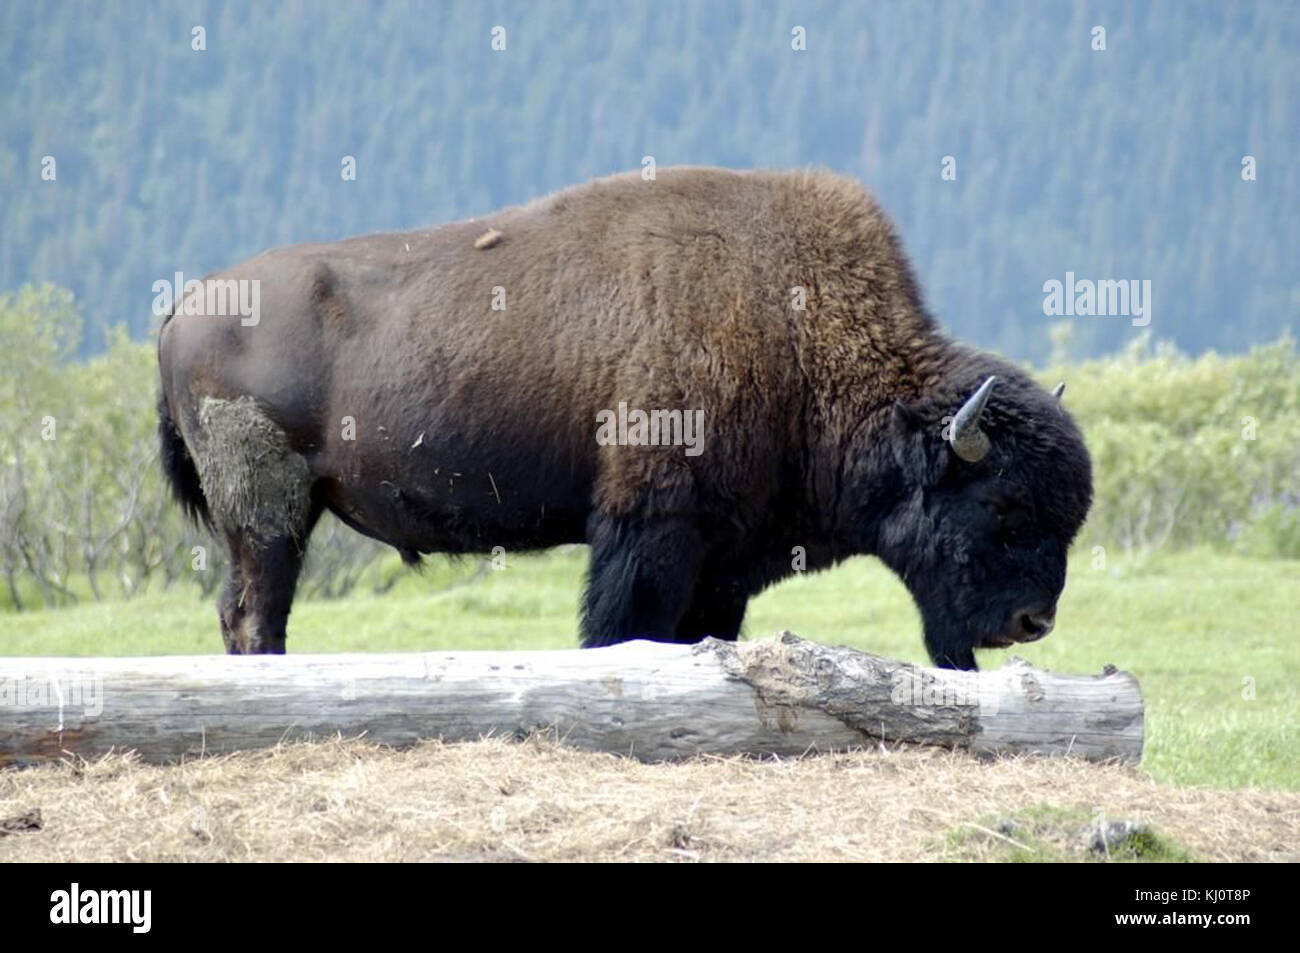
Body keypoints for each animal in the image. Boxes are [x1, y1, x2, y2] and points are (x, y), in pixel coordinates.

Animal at [157, 167, 1092, 669]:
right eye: (1001, 506)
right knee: (255, 611)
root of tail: (182, 310)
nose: (1034, 622)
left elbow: (696, 633)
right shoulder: (650, 528)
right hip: (268, 515)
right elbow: (625, 628)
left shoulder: (726, 558)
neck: (799, 331)